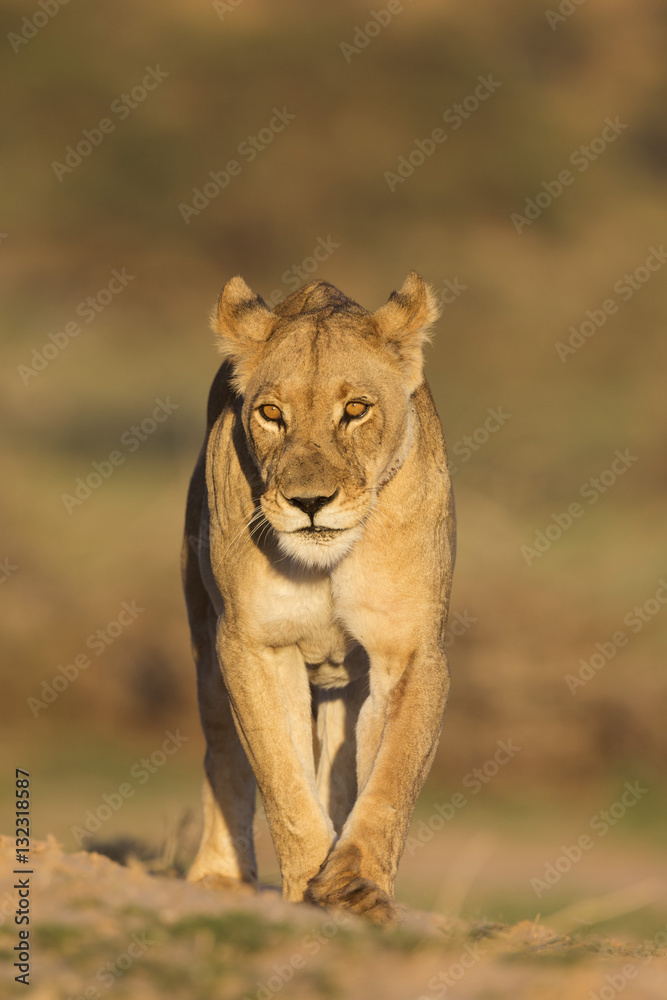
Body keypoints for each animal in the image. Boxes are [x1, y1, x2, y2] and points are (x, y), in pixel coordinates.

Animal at [182, 271, 456, 926]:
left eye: (355, 410)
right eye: (270, 414)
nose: (309, 502)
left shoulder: (410, 652)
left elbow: (388, 782)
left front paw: (355, 888)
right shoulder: (253, 644)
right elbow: (283, 781)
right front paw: (309, 883)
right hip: (205, 646)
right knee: (222, 754)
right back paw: (219, 877)